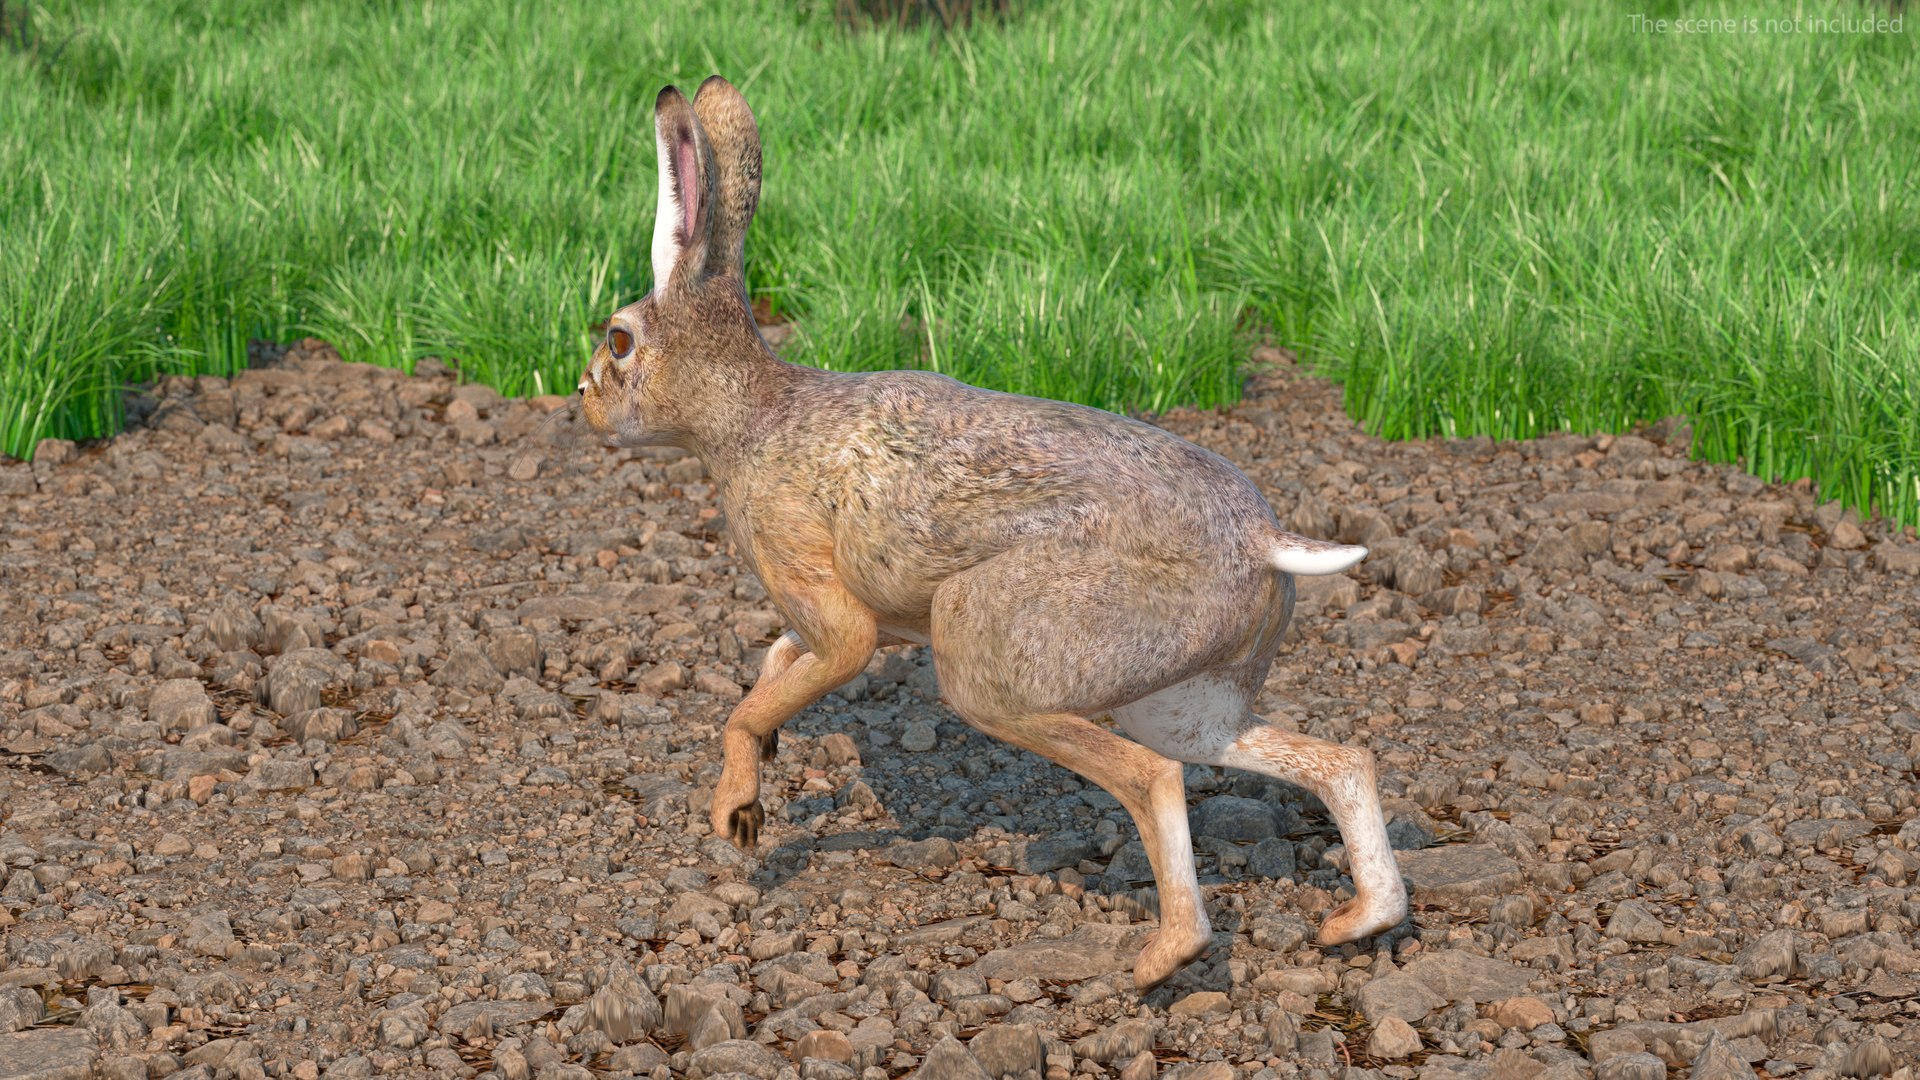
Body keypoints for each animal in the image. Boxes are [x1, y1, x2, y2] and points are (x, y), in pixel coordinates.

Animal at [576, 76, 1409, 990]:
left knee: (1153, 778)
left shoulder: (821, 591)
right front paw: (759, 778)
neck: (747, 416)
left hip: (990, 652)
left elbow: (807, 668)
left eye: (619, 340)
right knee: (1331, 760)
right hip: (1186, 693)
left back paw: (1158, 962)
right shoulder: (832, 617)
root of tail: (1263, 541)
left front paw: (734, 813)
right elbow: (776, 664)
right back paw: (1355, 922)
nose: (582, 396)